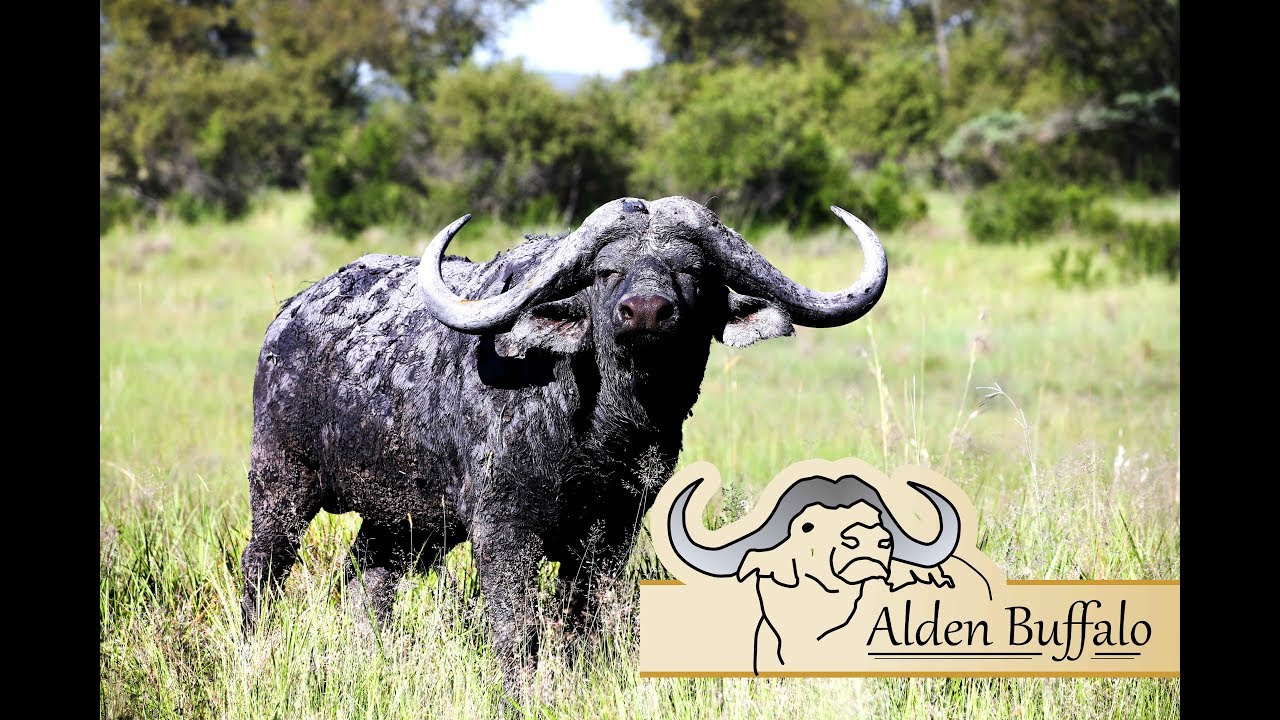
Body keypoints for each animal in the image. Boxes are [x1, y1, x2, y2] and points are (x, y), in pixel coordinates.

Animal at [241, 196, 888, 680]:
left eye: (691, 271)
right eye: (606, 272)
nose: (646, 311)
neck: (601, 434)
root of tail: (290, 314)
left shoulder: (612, 532)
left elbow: (580, 620)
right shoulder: (504, 532)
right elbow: (515, 628)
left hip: (403, 520)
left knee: (367, 578)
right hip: (280, 487)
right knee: (261, 572)